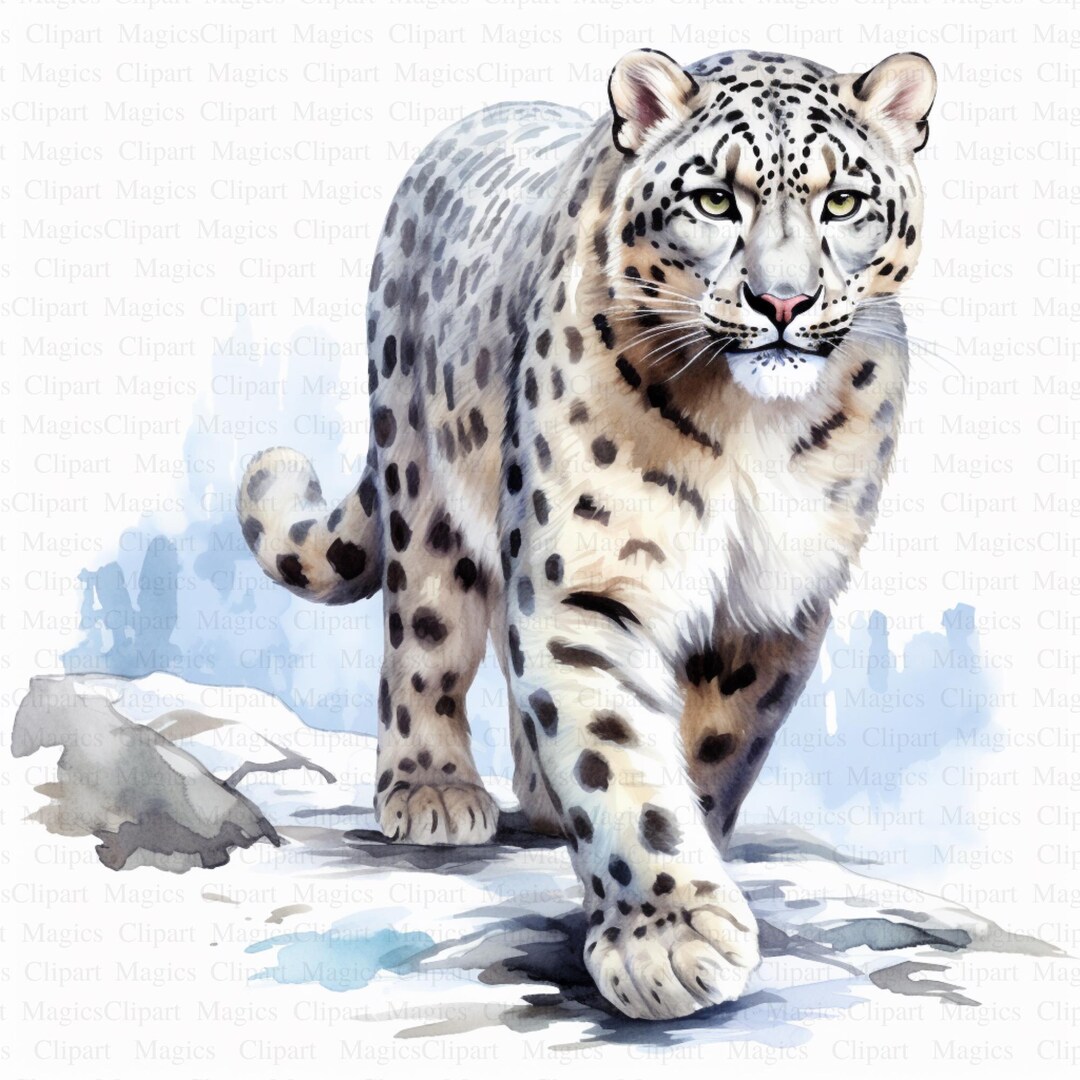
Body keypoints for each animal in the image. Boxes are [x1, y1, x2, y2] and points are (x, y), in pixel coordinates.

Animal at [237, 48, 936, 1020]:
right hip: (424, 491)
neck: (752, 430)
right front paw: (668, 941)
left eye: (843, 202)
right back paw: (433, 791)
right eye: (713, 200)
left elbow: (711, 747)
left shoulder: (774, 602)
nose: (783, 300)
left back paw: (532, 797)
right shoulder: (586, 580)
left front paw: (688, 871)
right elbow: (614, 750)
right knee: (426, 643)